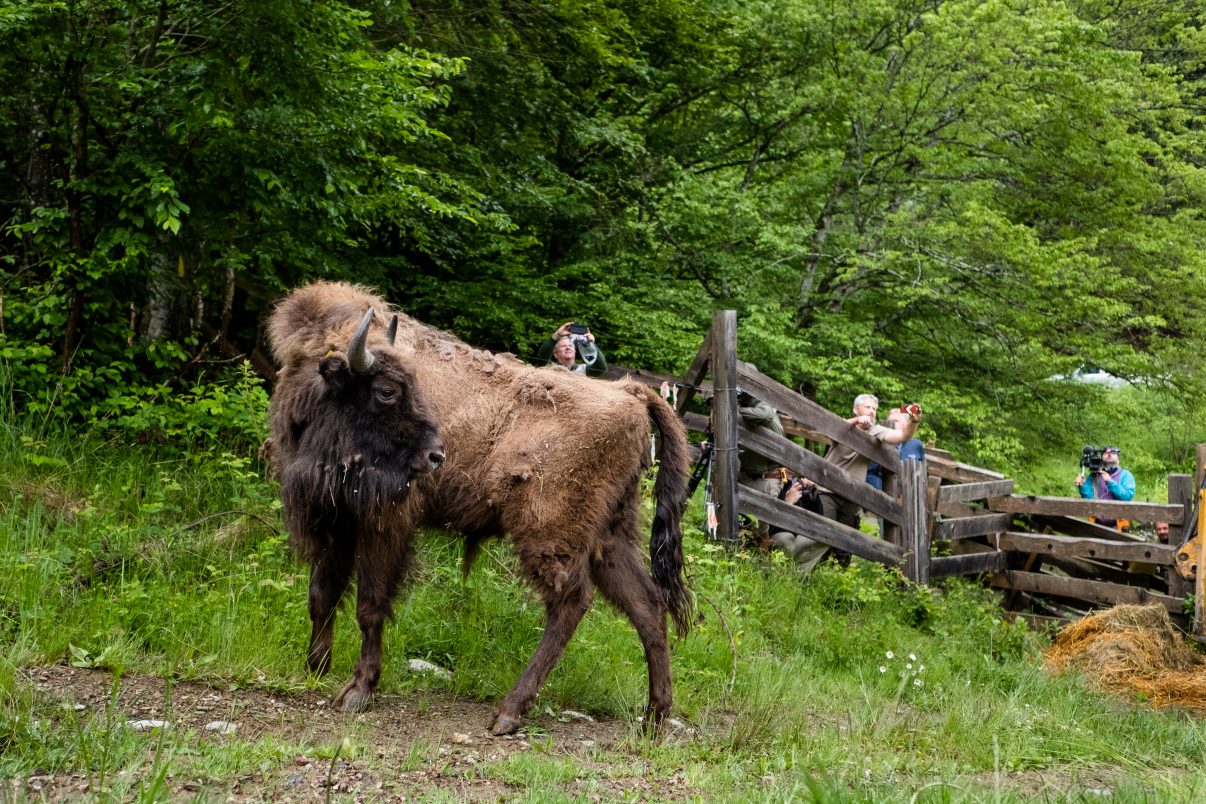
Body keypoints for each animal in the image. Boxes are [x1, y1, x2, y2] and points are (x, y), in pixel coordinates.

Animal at [264, 281, 692, 735]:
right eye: (388, 391)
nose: (436, 455)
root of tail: (630, 393)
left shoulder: (385, 524)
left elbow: (370, 605)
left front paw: (358, 690)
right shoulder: (335, 520)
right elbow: (321, 595)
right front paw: (315, 667)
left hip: (548, 533)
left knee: (571, 602)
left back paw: (508, 712)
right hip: (609, 536)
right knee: (647, 605)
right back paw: (655, 716)